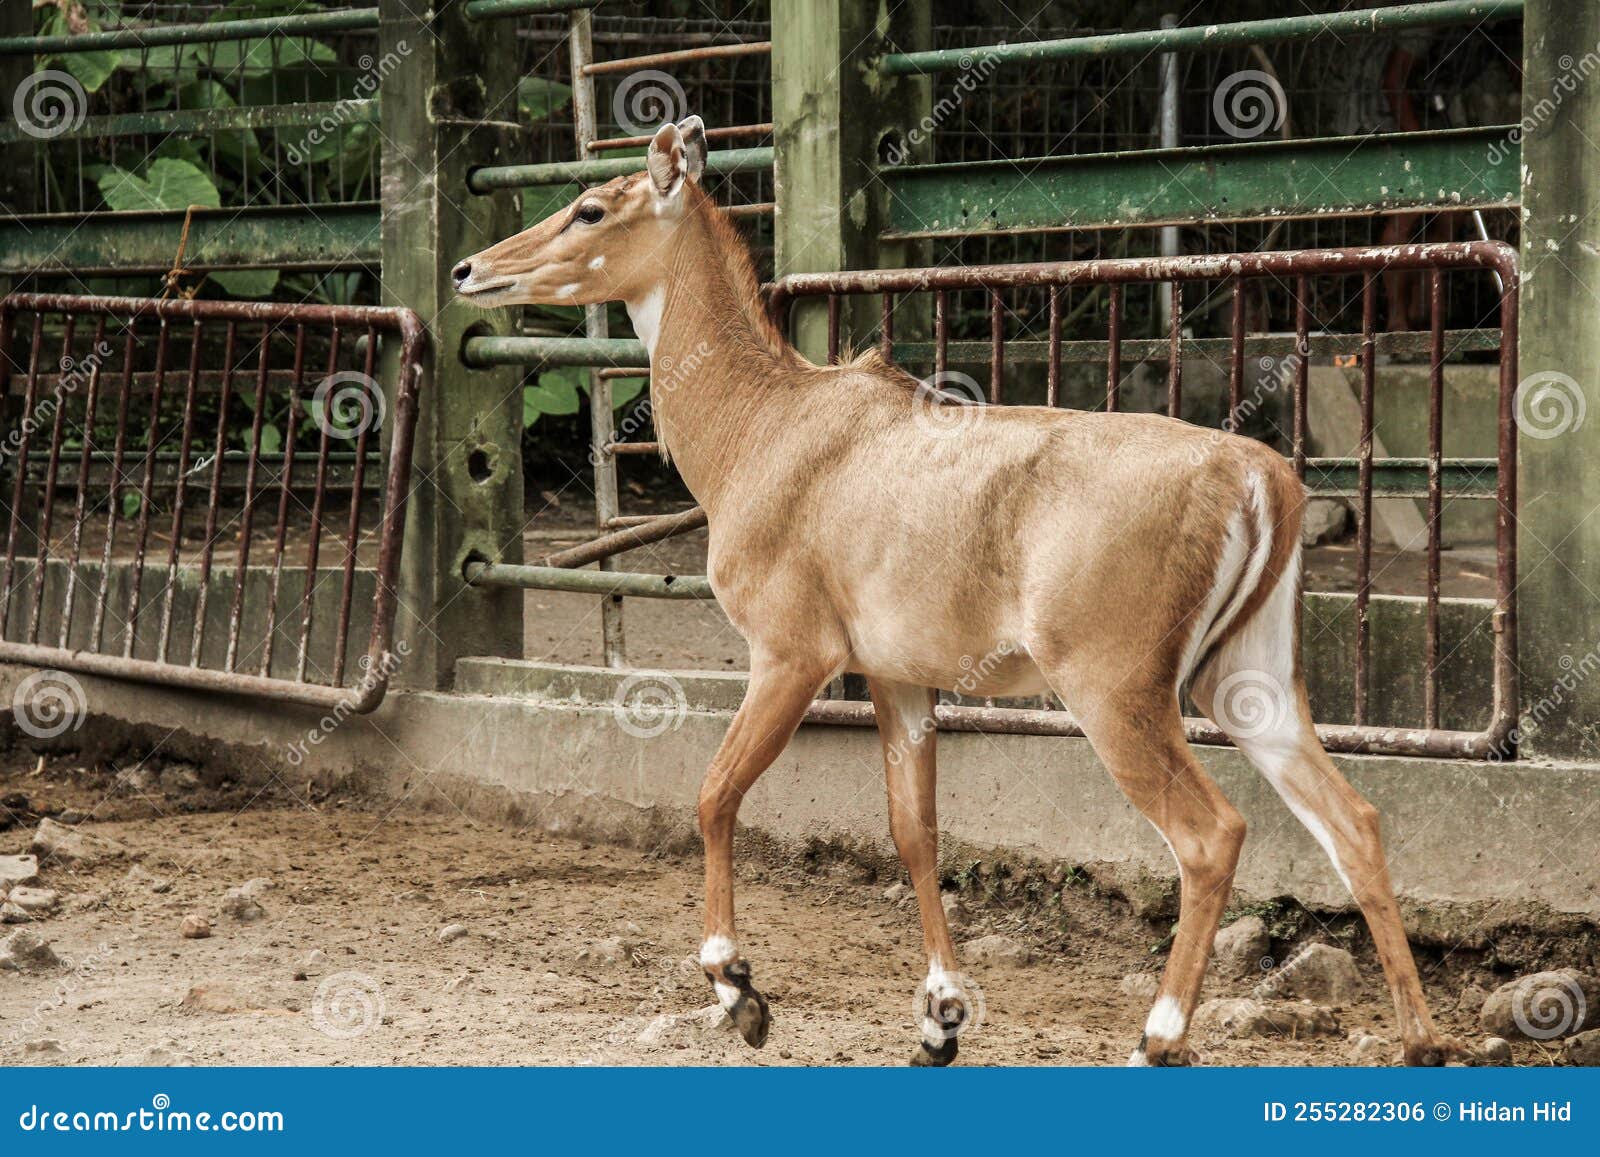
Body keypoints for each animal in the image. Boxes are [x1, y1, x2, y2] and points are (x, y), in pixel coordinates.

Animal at [452, 116, 1467, 1067]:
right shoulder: (898, 675)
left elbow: (712, 793)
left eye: (591, 208)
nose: (468, 268)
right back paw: (1420, 1039)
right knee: (1353, 820)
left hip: (1115, 687)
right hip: (1248, 679)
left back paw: (1159, 1035)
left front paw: (738, 988)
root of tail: (1264, 479)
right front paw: (939, 1019)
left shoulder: (792, 650)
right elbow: (916, 828)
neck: (755, 427)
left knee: (1211, 832)